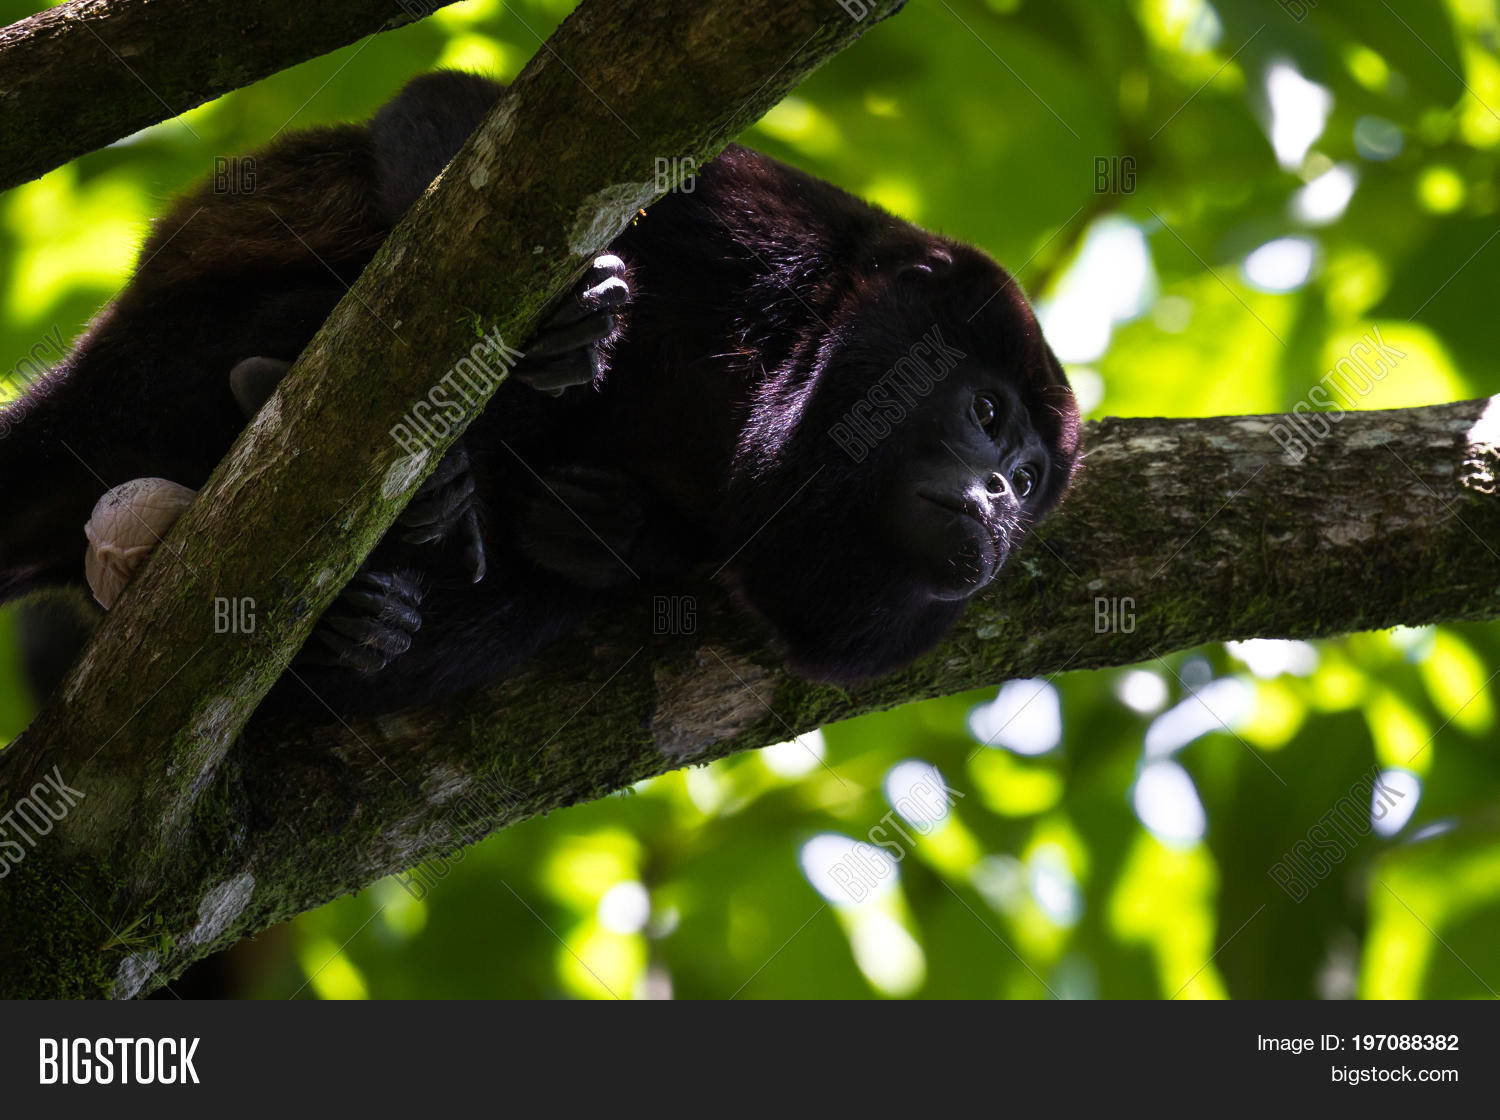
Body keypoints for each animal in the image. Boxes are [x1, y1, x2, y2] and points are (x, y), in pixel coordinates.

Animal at [0, 71, 1080, 716]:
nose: (999, 499)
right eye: (988, 414)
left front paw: (613, 527)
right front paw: (565, 326)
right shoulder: (769, 219)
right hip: (185, 336)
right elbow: (476, 136)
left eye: (1030, 479)